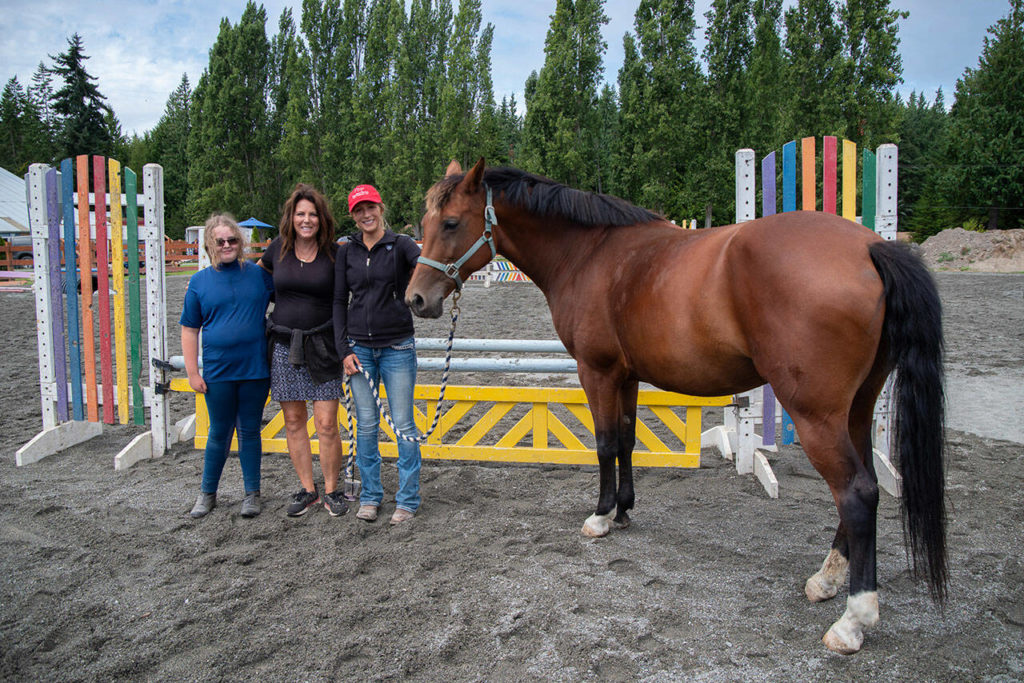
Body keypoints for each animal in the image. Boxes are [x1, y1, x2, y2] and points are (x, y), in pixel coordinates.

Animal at [406, 159, 947, 655]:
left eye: (450, 223)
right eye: (426, 224)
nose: (415, 299)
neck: (590, 254)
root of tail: (870, 247)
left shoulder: (596, 372)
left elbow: (605, 443)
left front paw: (600, 517)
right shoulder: (626, 376)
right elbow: (626, 440)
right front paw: (624, 511)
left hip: (816, 416)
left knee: (855, 493)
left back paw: (853, 620)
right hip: (855, 409)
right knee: (866, 483)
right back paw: (827, 580)